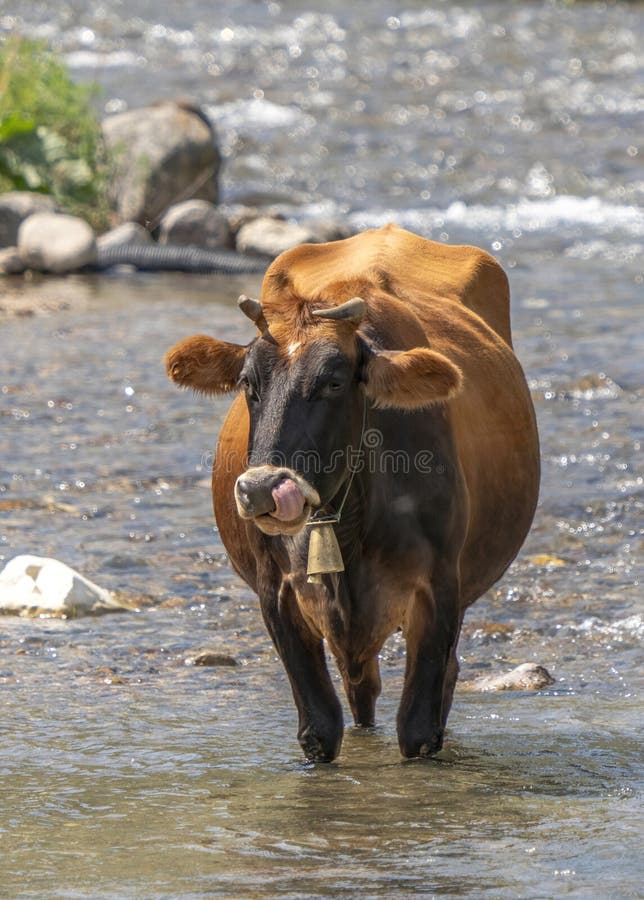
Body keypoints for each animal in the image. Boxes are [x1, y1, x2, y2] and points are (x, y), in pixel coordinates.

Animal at [165, 224, 540, 762]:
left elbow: (418, 728)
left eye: (334, 382)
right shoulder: (275, 591)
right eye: (247, 383)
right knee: (361, 688)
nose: (262, 490)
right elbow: (319, 729)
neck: (346, 523)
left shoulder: (439, 588)